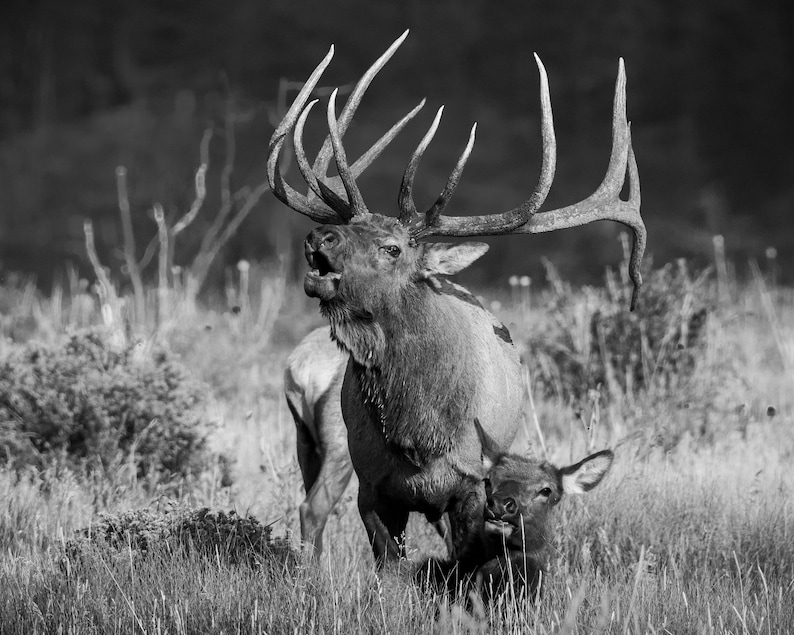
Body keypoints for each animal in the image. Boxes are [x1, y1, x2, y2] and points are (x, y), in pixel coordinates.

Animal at [267, 29, 644, 567]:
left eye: (393, 247)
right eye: (349, 227)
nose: (320, 236)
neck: (420, 435)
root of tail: (301, 368)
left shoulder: (468, 485)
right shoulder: (374, 485)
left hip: (309, 443)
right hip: (330, 447)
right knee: (311, 507)